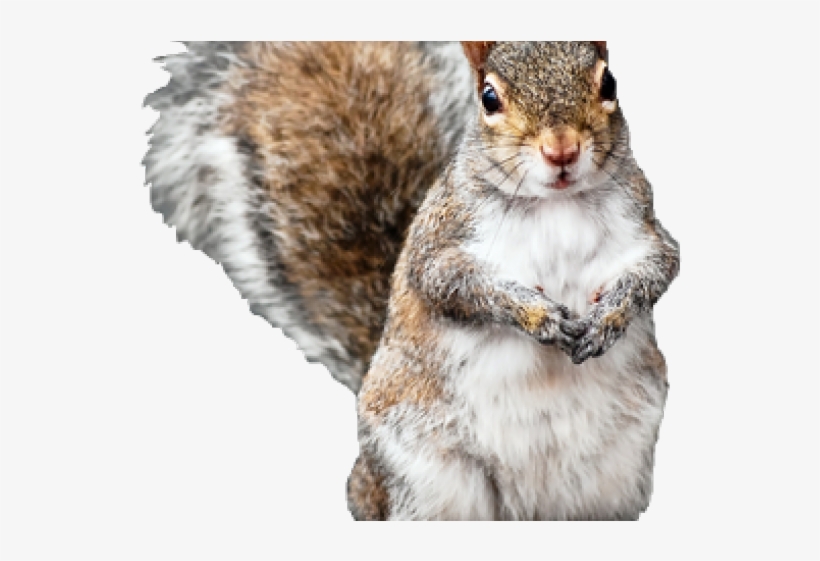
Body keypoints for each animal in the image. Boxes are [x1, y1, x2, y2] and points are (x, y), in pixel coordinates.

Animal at [144, 41, 679, 520]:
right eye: (489, 98)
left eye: (609, 84)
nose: (562, 150)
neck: (558, 202)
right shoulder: (439, 241)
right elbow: (452, 284)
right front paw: (536, 315)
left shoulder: (645, 226)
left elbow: (660, 267)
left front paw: (611, 317)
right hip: (428, 479)